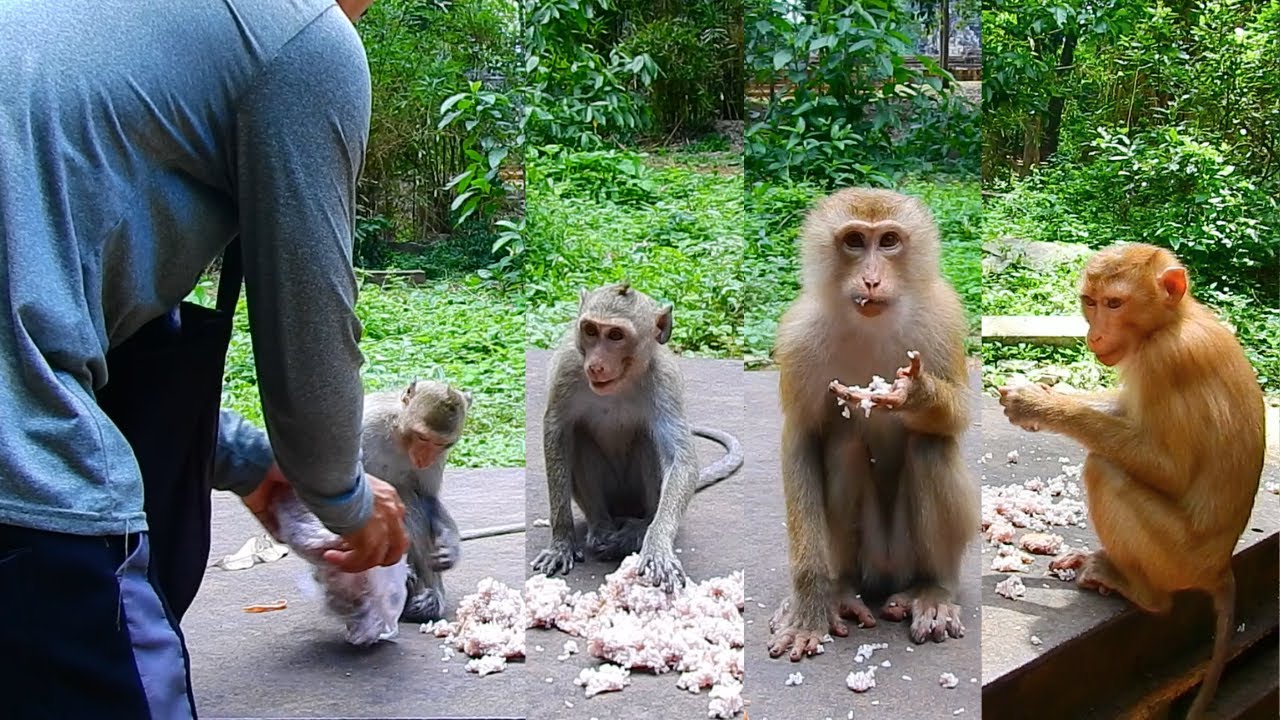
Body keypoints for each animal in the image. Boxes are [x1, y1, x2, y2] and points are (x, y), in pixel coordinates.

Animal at [361, 379, 472, 623]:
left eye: (442, 444)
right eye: (422, 437)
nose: (424, 458)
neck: (399, 435)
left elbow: (427, 498)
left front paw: (450, 546)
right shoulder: (367, 424)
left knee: (408, 497)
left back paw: (429, 599)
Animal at [530, 283, 744, 594]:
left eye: (616, 336)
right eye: (590, 330)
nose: (596, 365)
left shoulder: (665, 380)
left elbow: (680, 457)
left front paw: (657, 546)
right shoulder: (567, 367)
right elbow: (557, 431)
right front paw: (561, 541)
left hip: (643, 498)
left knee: (647, 439)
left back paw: (637, 530)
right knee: (579, 435)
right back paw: (601, 527)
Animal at [767, 188, 979, 658]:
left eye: (888, 242)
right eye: (853, 242)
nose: (871, 281)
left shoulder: (943, 316)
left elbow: (958, 414)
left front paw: (914, 394)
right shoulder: (798, 336)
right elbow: (801, 440)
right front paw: (809, 603)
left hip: (906, 555)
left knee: (930, 444)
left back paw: (933, 591)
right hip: (868, 556)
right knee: (842, 444)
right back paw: (841, 590)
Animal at [998, 243, 1265, 719]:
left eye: (1115, 303)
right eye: (1091, 301)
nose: (1095, 336)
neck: (1172, 321)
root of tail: (1219, 568)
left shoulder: (1166, 361)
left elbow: (1167, 468)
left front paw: (1036, 406)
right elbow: (1124, 411)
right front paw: (1044, 394)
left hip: (1176, 559)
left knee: (1105, 471)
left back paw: (1140, 591)